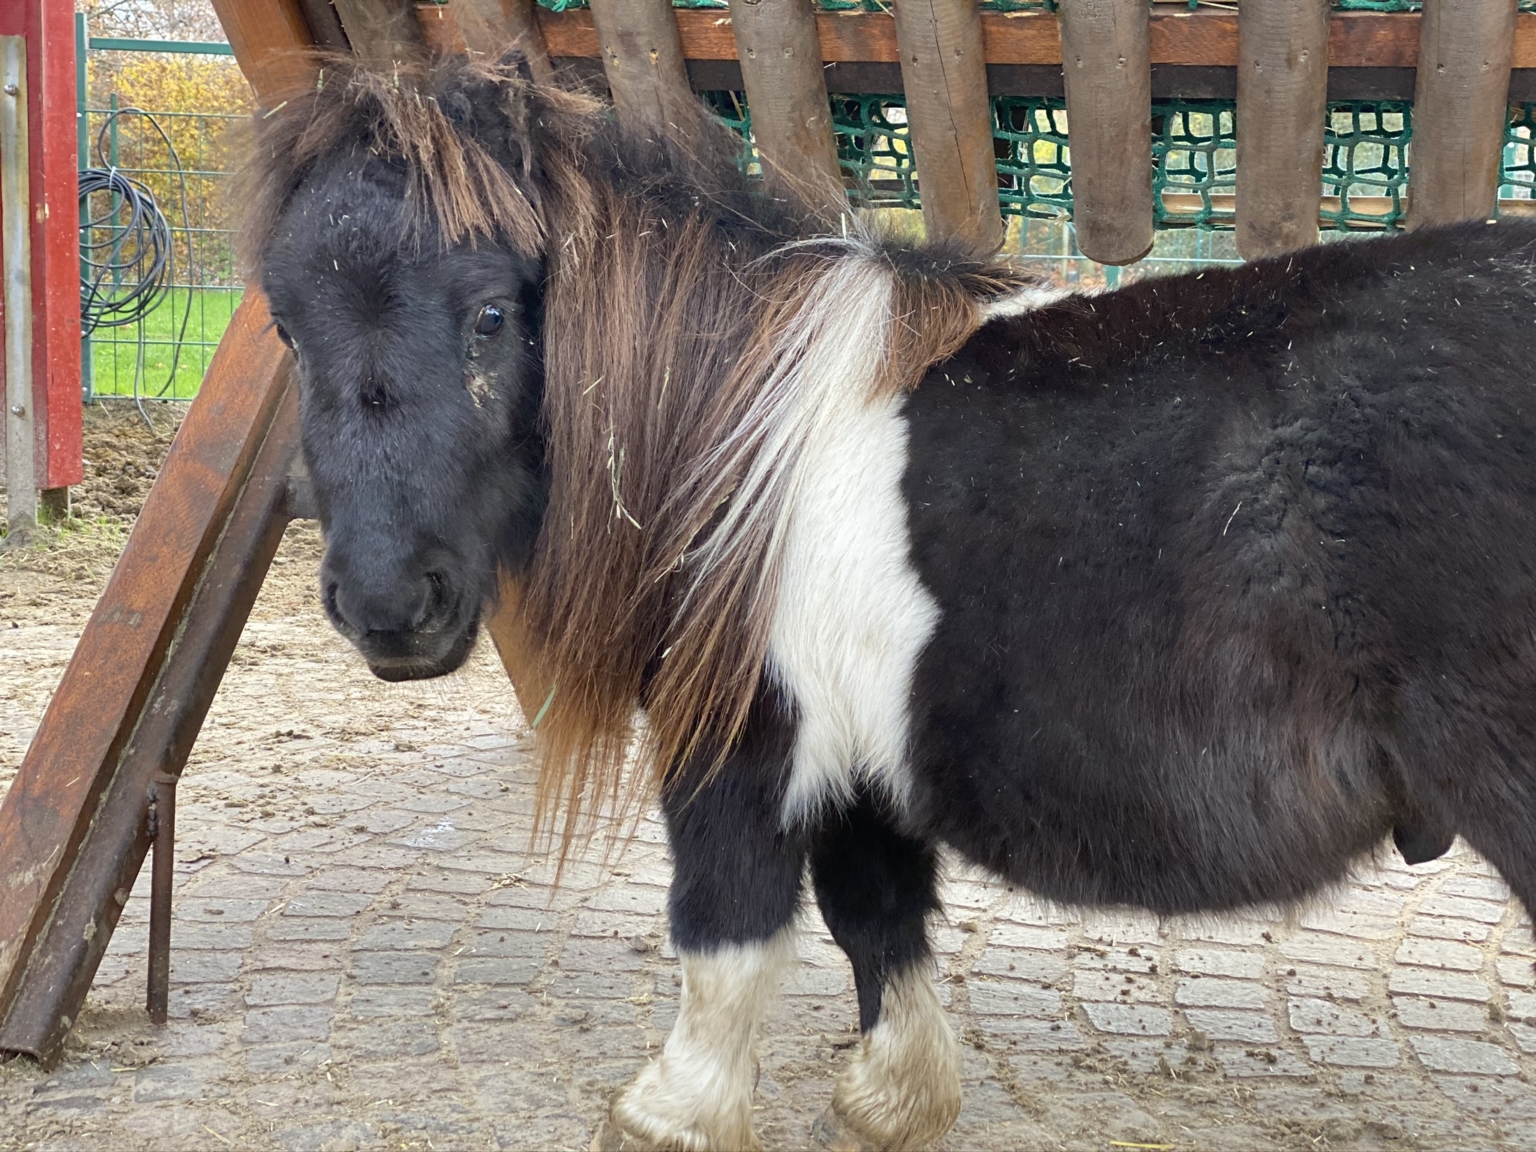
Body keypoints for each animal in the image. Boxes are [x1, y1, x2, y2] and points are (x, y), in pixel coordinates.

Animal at [242, 53, 1536, 1151]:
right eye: (285, 328)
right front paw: (894, 1097)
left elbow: (726, 926)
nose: (388, 602)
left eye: (490, 315)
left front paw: (674, 1109)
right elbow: (878, 917)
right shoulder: (860, 763)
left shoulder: (742, 749)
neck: (735, 430)